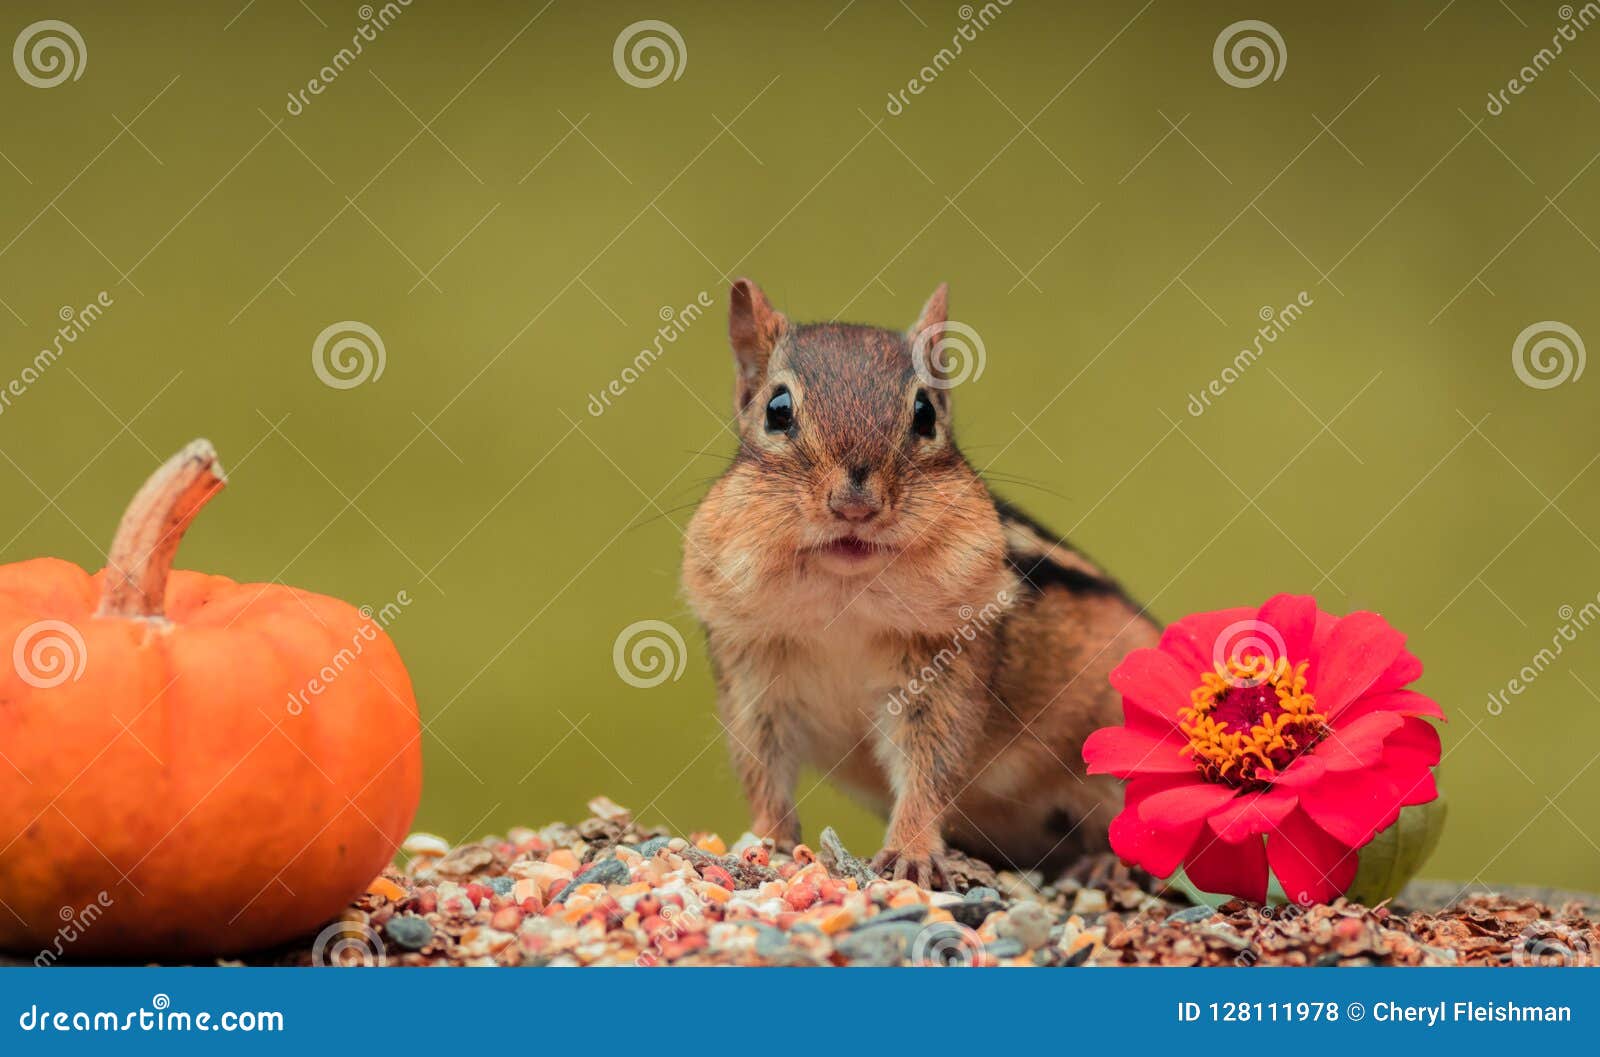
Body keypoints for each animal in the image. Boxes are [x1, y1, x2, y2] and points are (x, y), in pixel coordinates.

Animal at [682, 278, 1161, 887]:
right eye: (777, 409)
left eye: (925, 413)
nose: (855, 503)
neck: (843, 595)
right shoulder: (752, 674)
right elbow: (761, 765)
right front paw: (767, 841)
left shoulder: (942, 666)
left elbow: (930, 766)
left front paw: (910, 851)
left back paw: (1106, 864)